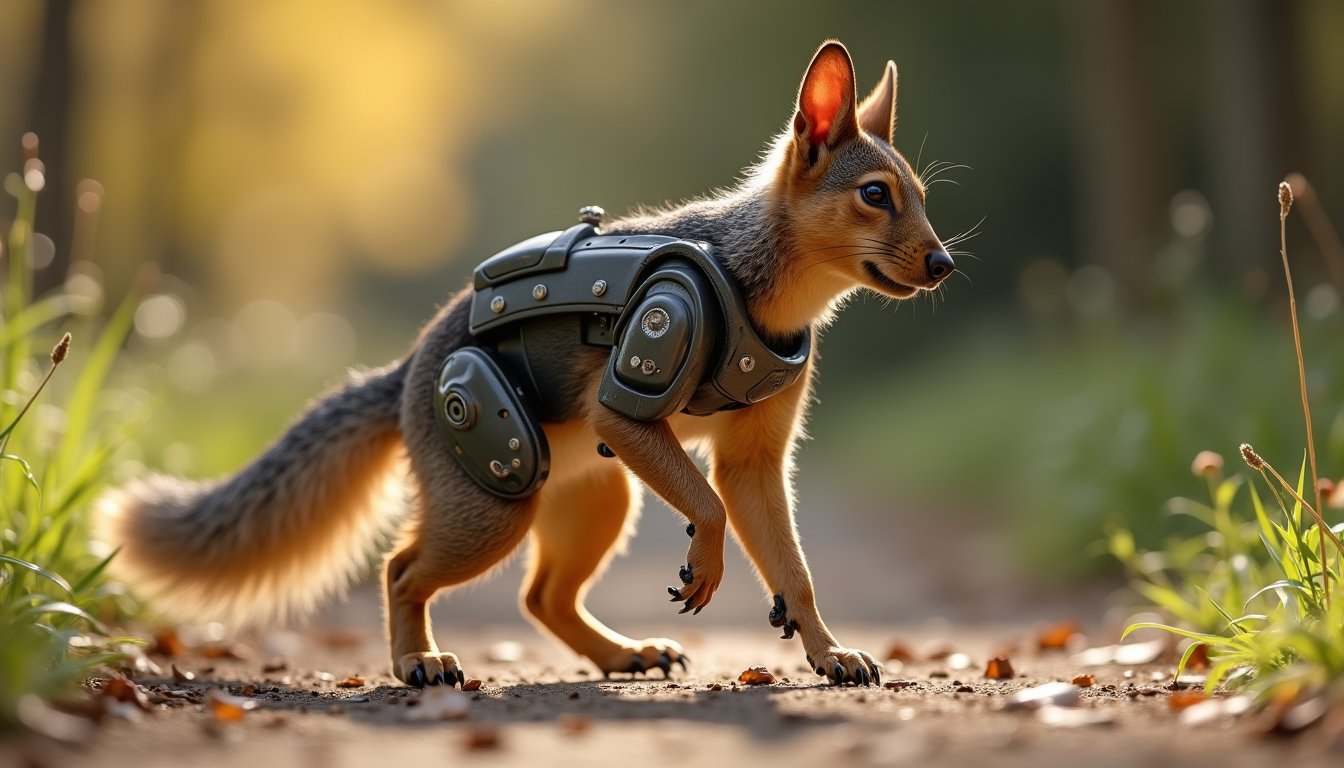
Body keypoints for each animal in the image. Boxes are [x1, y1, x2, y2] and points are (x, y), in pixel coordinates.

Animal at [96, 40, 955, 688]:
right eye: (876, 195)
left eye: (918, 194)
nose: (942, 262)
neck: (762, 295)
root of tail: (405, 373)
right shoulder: (628, 404)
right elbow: (708, 508)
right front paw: (706, 566)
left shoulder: (755, 461)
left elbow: (792, 570)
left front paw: (830, 654)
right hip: (498, 498)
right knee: (402, 570)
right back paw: (419, 661)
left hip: (599, 497)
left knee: (543, 599)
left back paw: (625, 654)